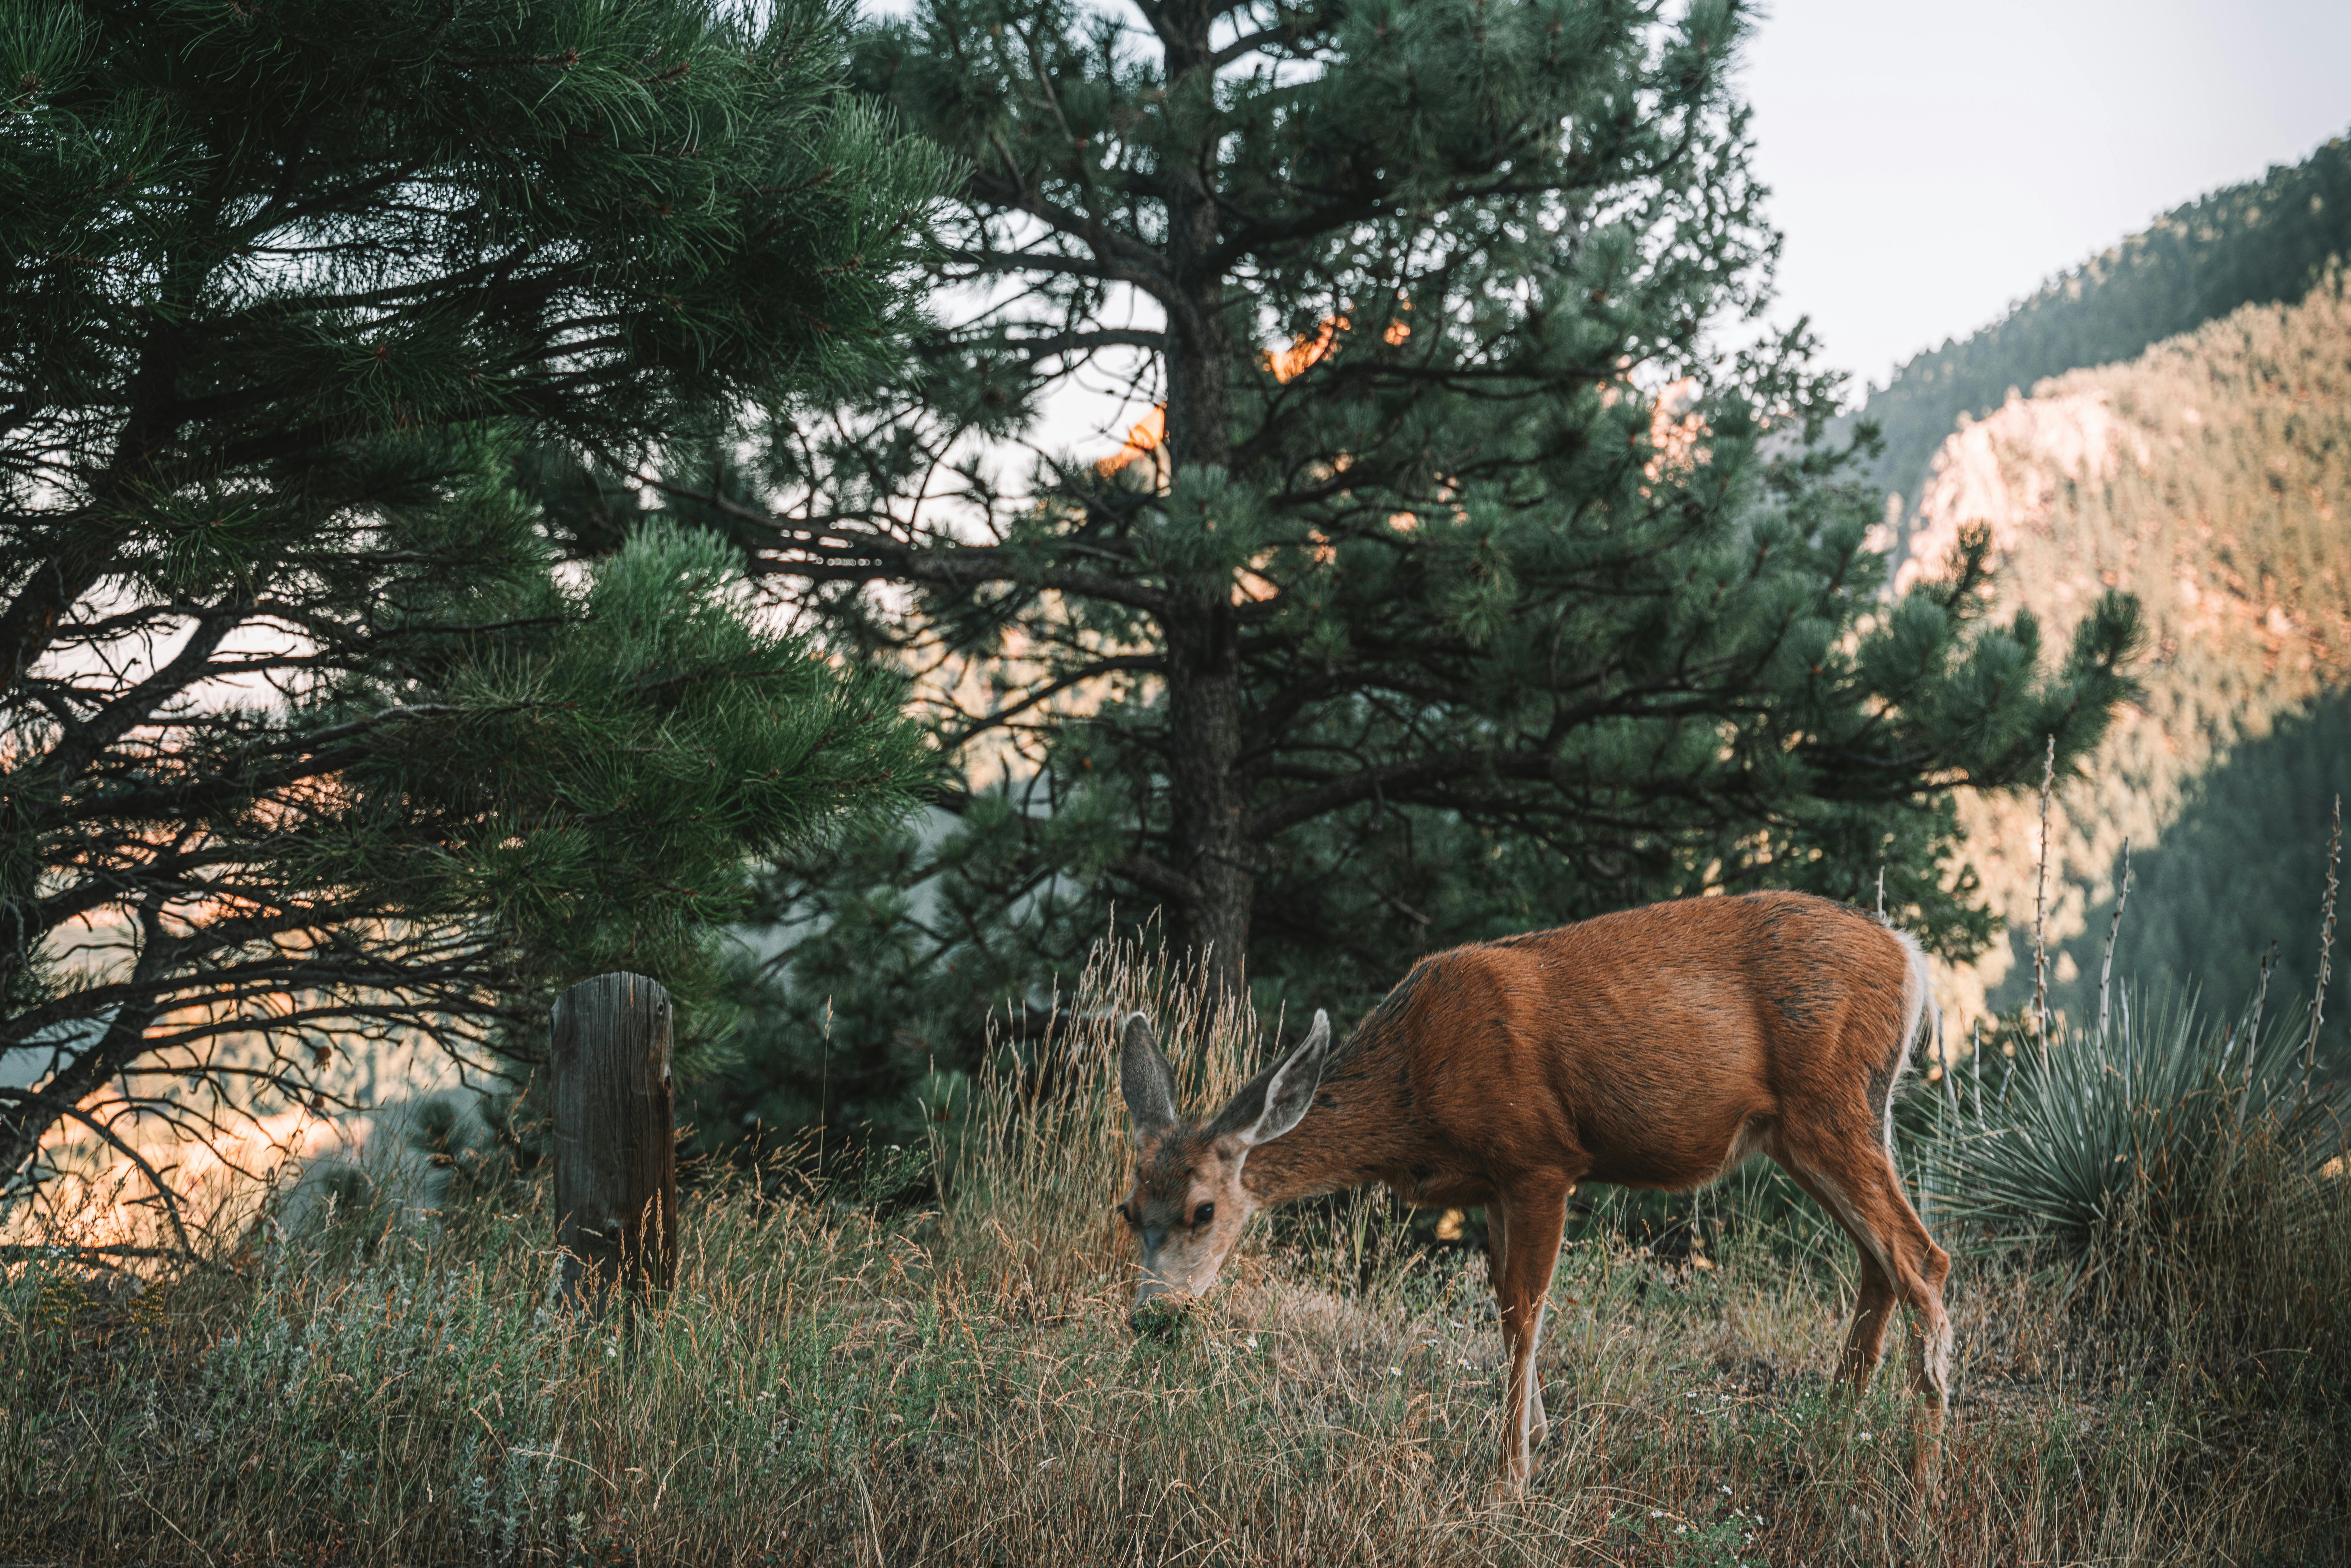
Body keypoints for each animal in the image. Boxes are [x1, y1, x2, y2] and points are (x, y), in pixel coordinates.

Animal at [1113, 890, 1952, 1497]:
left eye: (1203, 1210)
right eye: (1128, 1210)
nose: (1151, 1315)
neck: (1414, 1093)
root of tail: (1911, 958)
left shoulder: (1540, 1158)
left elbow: (1525, 1310)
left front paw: (1511, 1474)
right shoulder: (1487, 1181)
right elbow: (1501, 1298)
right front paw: (1536, 1437)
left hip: (1829, 1104)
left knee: (1924, 1258)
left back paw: (1922, 1481)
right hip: (1808, 1129)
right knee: (1877, 1262)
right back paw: (1832, 1437)